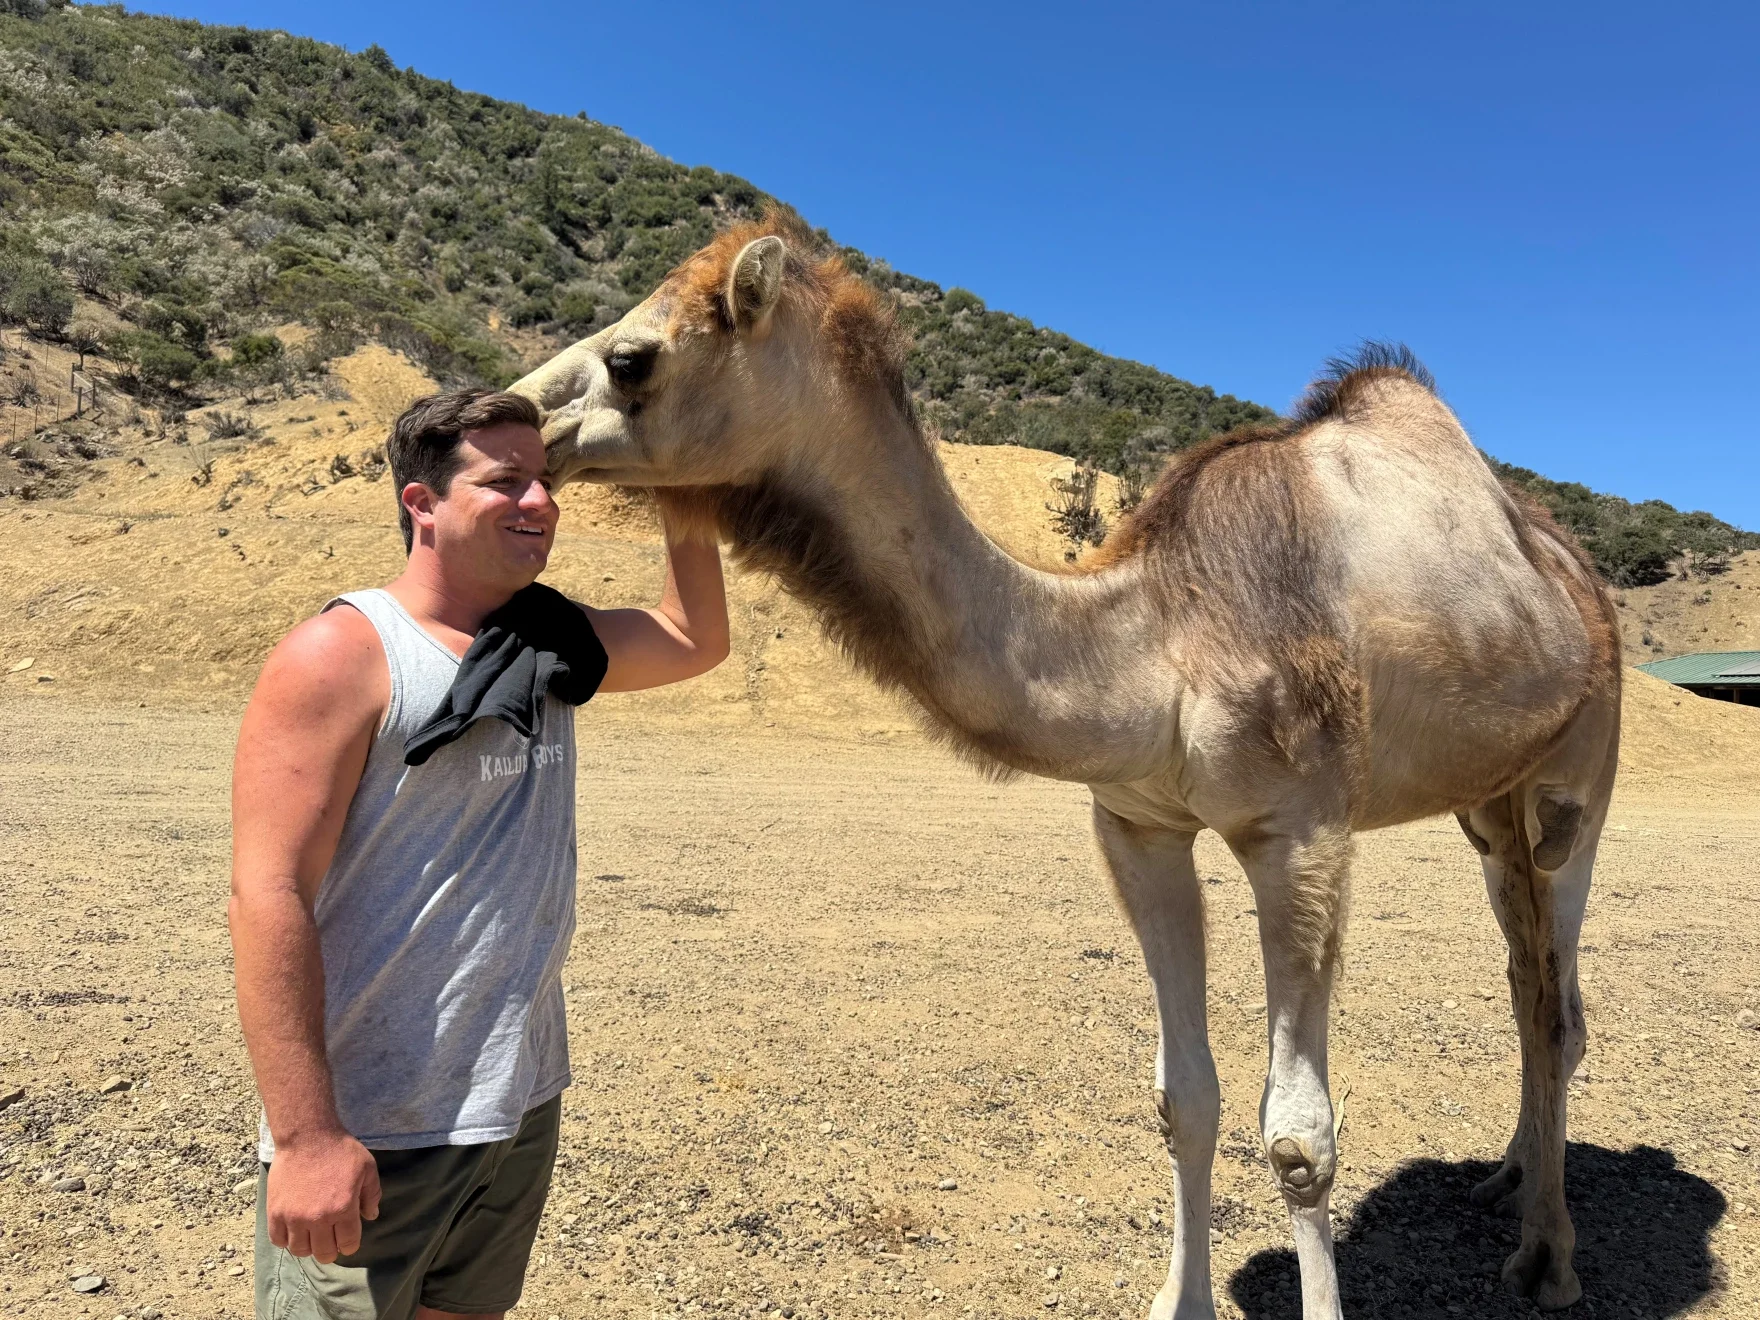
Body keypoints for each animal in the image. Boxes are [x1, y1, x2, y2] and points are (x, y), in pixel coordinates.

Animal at [513, 217, 1622, 1319]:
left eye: (632, 357)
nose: (498, 418)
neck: (1157, 642)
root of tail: (1570, 571)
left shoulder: (1301, 833)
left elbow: (1299, 1143)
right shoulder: (1137, 824)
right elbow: (1184, 1099)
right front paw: (1176, 1303)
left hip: (1578, 771)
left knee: (1555, 1001)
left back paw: (1549, 1256)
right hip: (1487, 806)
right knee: (1525, 973)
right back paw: (1508, 1173)